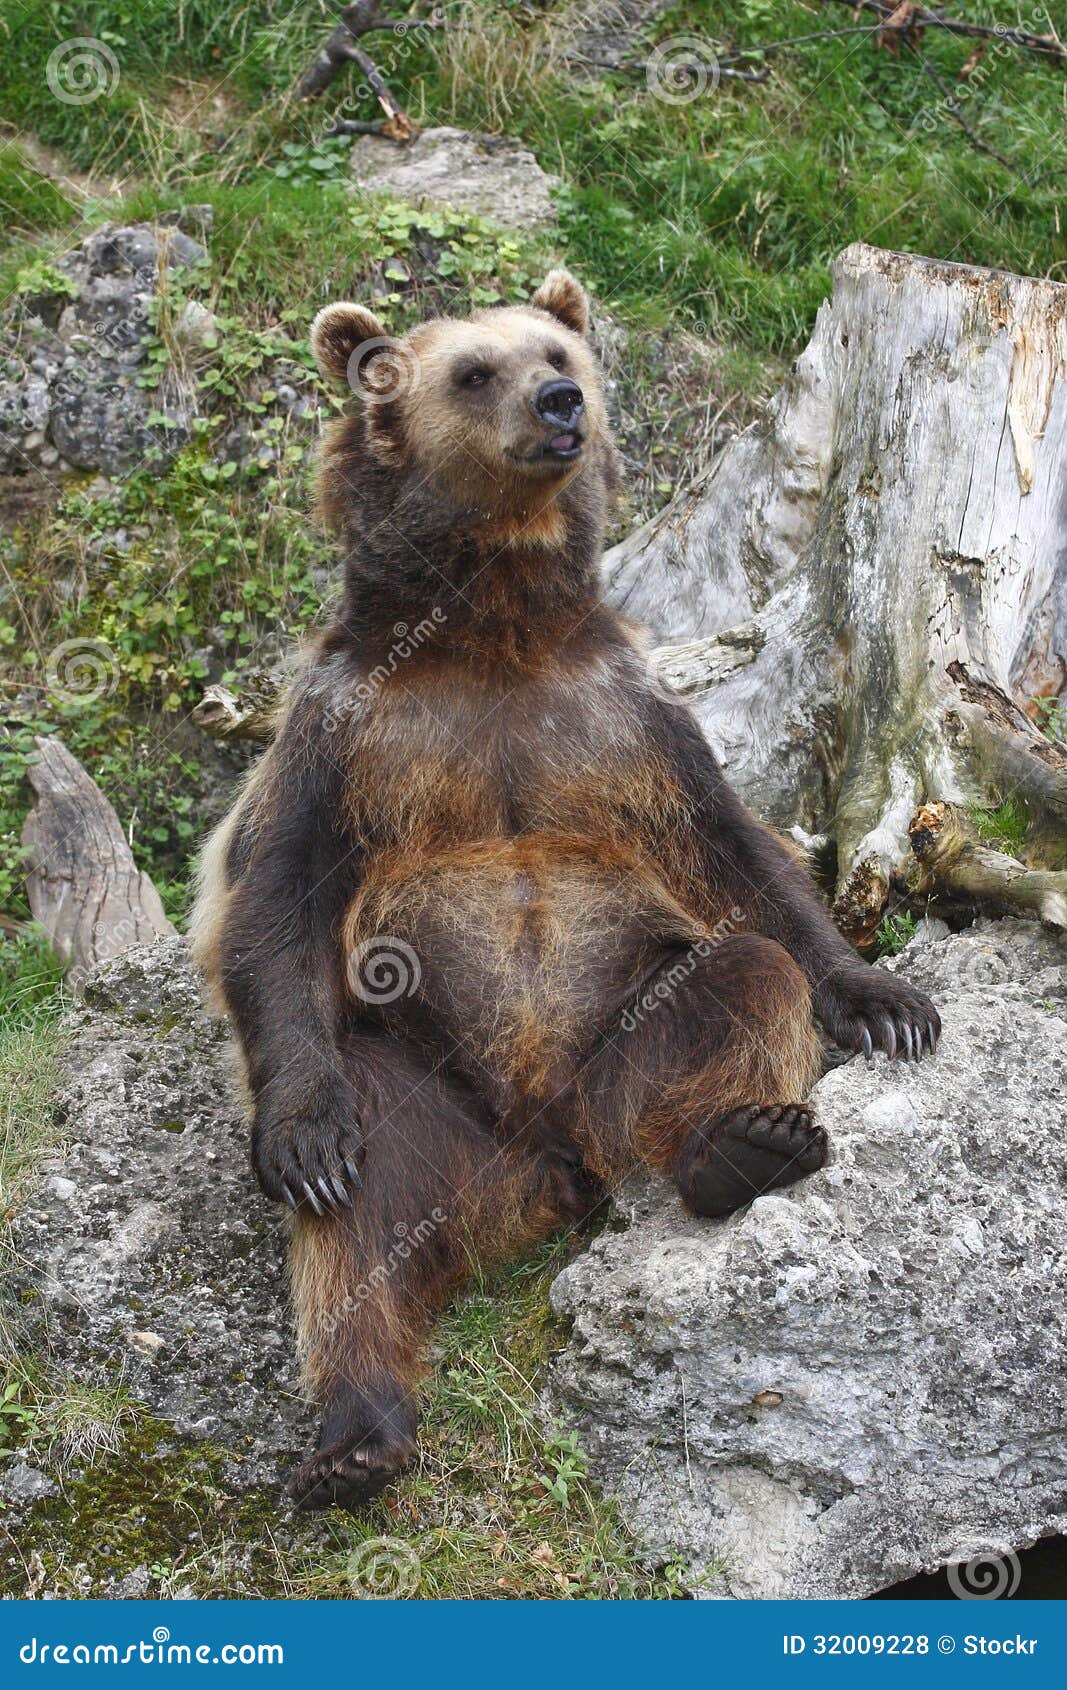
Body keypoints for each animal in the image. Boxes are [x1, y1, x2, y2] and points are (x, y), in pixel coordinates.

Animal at [190, 269, 940, 1511]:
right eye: (470, 369)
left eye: (556, 352)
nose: (558, 404)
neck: (494, 624)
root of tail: (547, 1158)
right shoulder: (348, 727)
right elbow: (272, 903)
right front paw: (298, 1140)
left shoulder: (625, 716)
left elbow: (744, 861)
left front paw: (882, 999)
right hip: (425, 1090)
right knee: (365, 1211)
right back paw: (355, 1431)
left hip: (618, 1045)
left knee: (734, 985)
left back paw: (742, 1143)